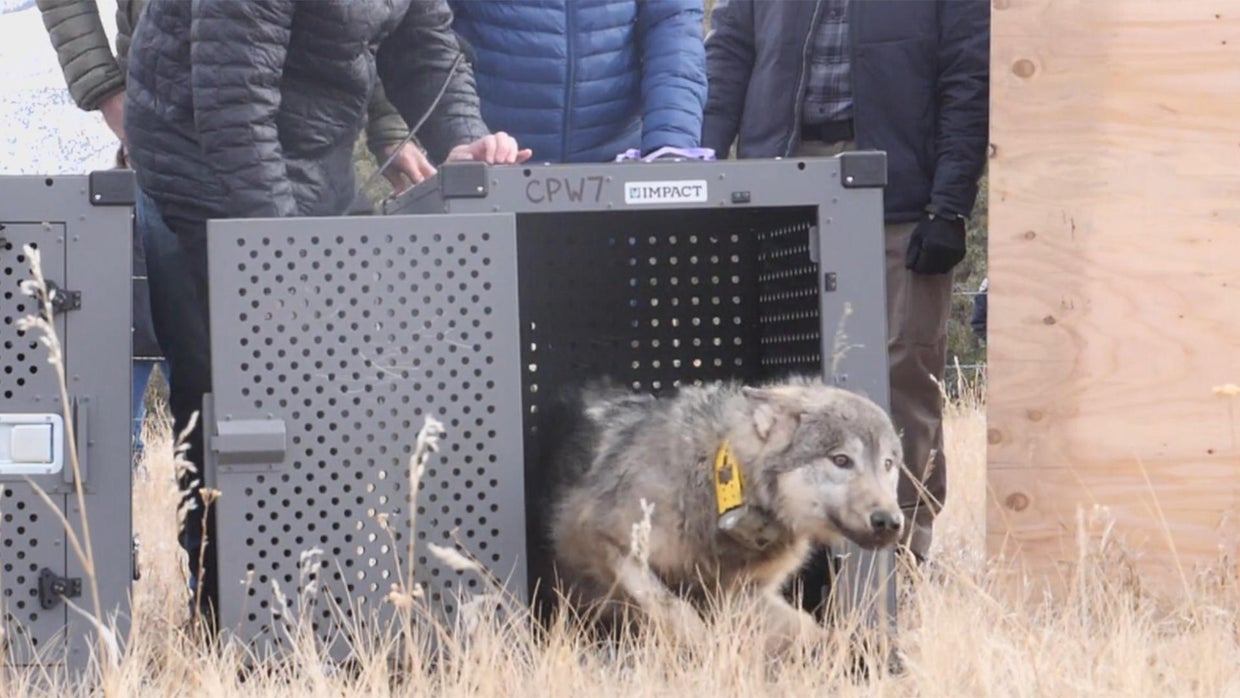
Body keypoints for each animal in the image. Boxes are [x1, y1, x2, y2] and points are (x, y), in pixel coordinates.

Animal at [542, 374, 905, 651]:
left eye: (888, 464)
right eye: (841, 460)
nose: (889, 521)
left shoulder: (742, 592)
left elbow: (805, 627)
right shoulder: (604, 540)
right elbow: (670, 605)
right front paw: (699, 646)